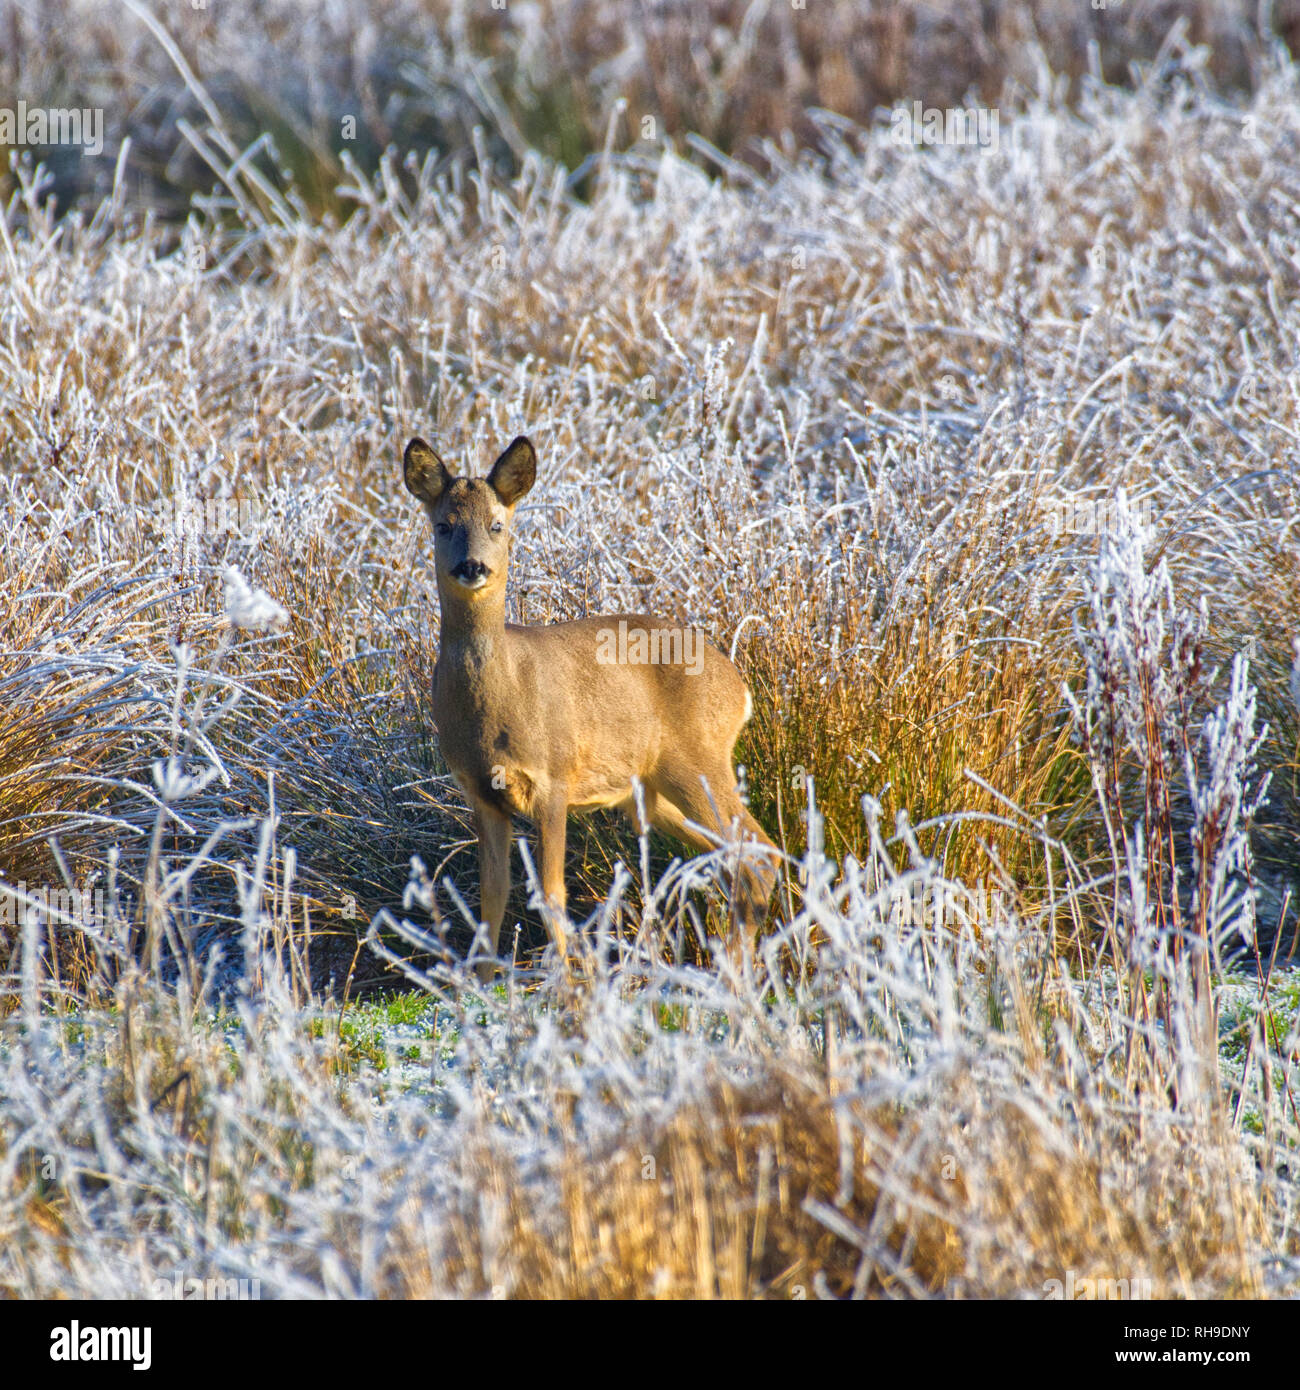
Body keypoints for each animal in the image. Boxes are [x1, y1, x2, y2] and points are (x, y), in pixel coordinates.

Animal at [402, 432, 777, 979]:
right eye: (443, 524)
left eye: (497, 523)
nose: (472, 567)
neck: (497, 706)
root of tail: (740, 687)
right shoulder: (480, 793)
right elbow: (493, 895)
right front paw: (480, 984)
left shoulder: (553, 778)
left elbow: (550, 893)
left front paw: (569, 981)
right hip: (652, 788)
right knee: (733, 857)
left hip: (699, 760)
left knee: (758, 850)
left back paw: (732, 972)